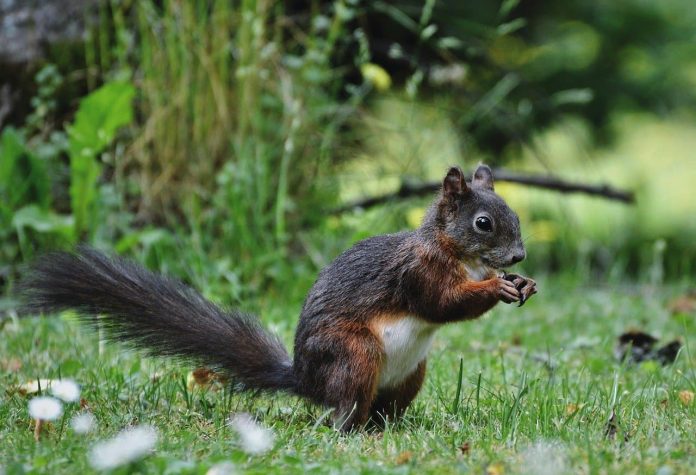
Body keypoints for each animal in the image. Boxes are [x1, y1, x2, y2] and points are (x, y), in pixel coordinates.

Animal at [21, 165, 537, 431]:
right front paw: (495, 287)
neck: (460, 256)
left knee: (381, 409)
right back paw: (350, 429)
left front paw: (523, 283)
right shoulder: (417, 272)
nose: (518, 255)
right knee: (344, 408)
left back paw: (391, 428)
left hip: (411, 374)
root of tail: (306, 380)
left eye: (513, 214)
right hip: (353, 353)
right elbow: (441, 304)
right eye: (483, 223)